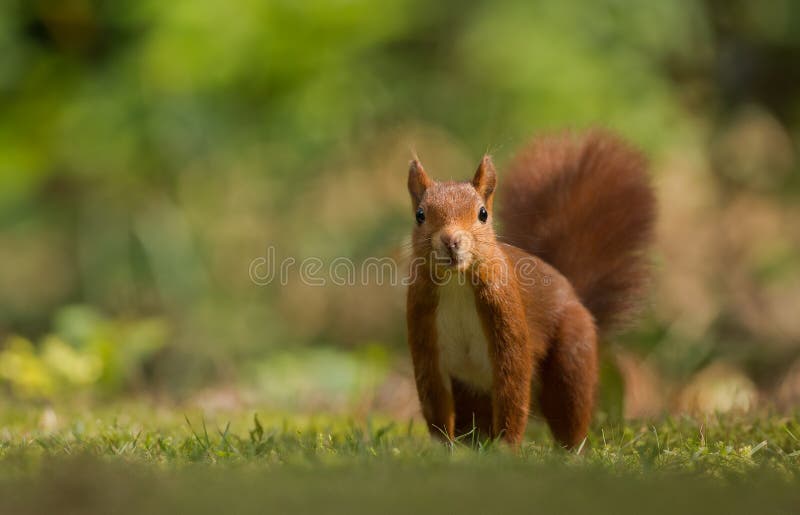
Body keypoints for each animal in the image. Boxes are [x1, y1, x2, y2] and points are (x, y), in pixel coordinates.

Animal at [405, 129, 656, 447]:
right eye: (420, 215)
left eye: (483, 214)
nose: (451, 240)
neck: (456, 283)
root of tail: (574, 294)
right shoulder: (424, 332)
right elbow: (434, 401)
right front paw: (442, 450)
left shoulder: (506, 316)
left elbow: (512, 389)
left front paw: (506, 449)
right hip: (469, 396)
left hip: (572, 354)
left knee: (570, 409)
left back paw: (570, 451)